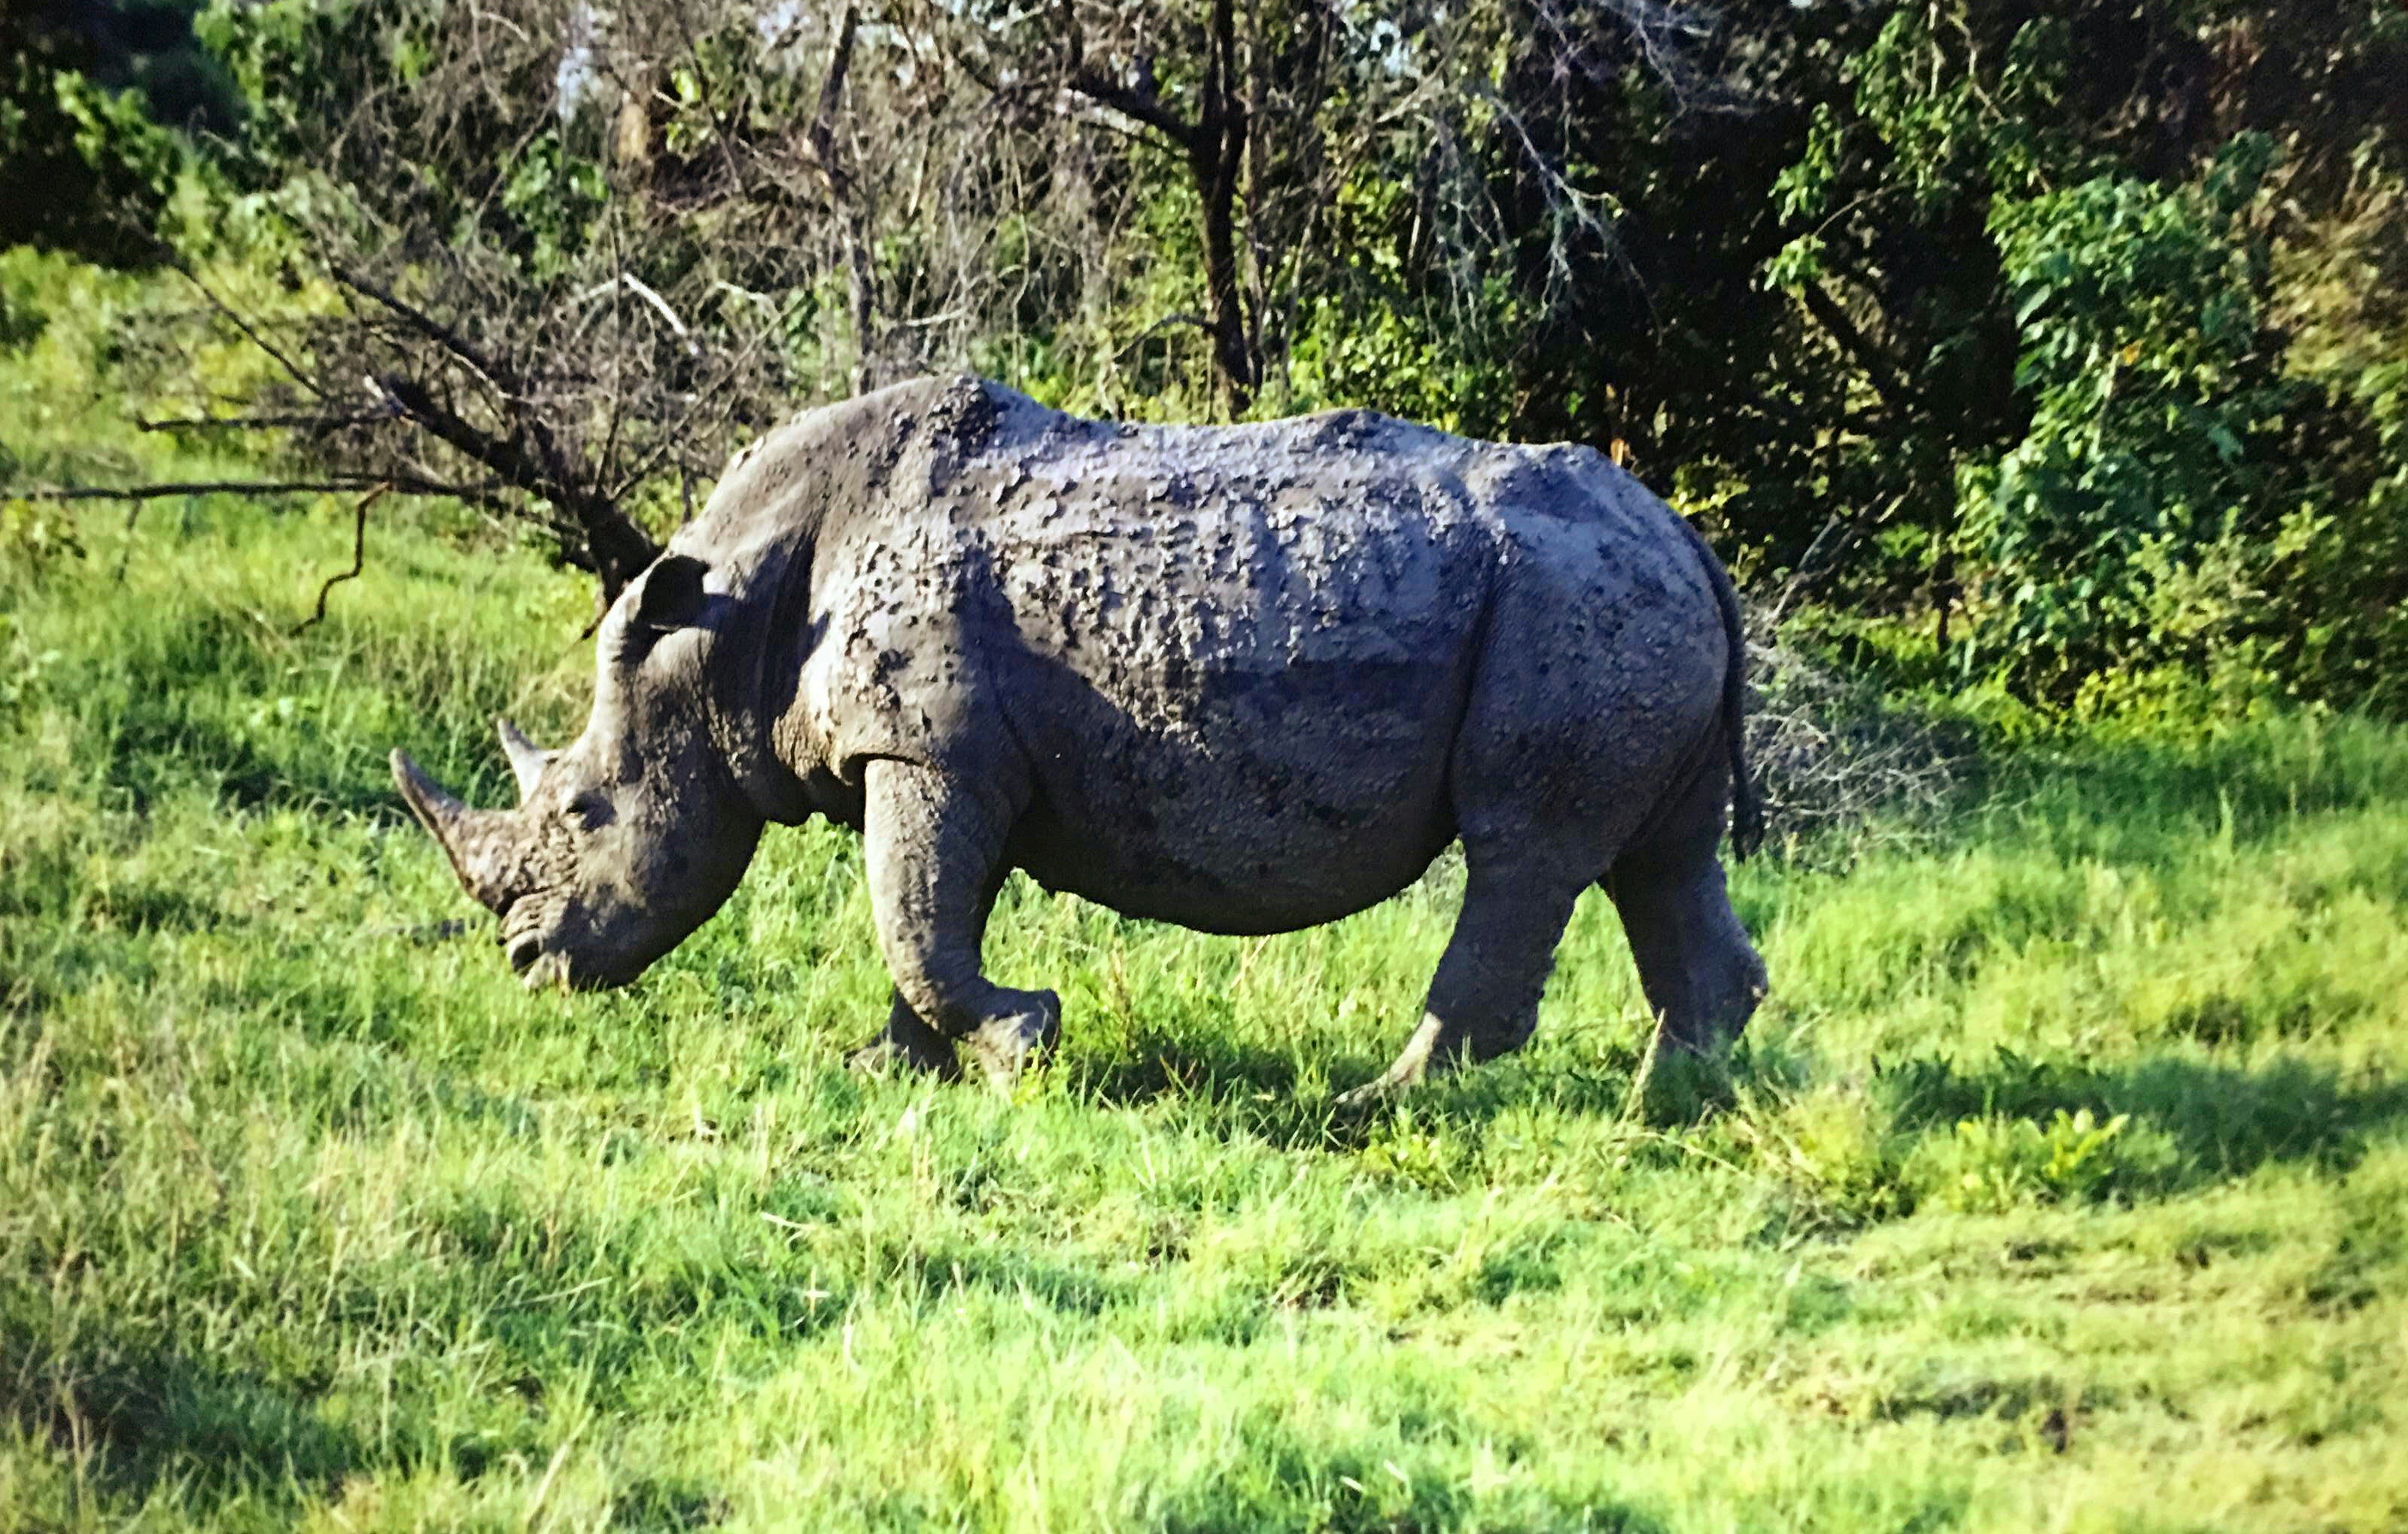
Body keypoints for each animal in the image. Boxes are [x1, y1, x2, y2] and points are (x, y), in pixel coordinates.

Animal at [392, 375, 1767, 1097]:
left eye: (585, 811)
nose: (526, 961)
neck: (726, 625)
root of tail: (1687, 538)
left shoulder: (925, 749)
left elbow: (915, 922)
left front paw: (1021, 1046)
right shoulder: (956, 759)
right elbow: (922, 922)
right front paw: (890, 1069)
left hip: (1571, 606)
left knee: (1523, 850)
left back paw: (1382, 1104)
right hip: (1620, 603)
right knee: (1660, 857)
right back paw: (1671, 1103)